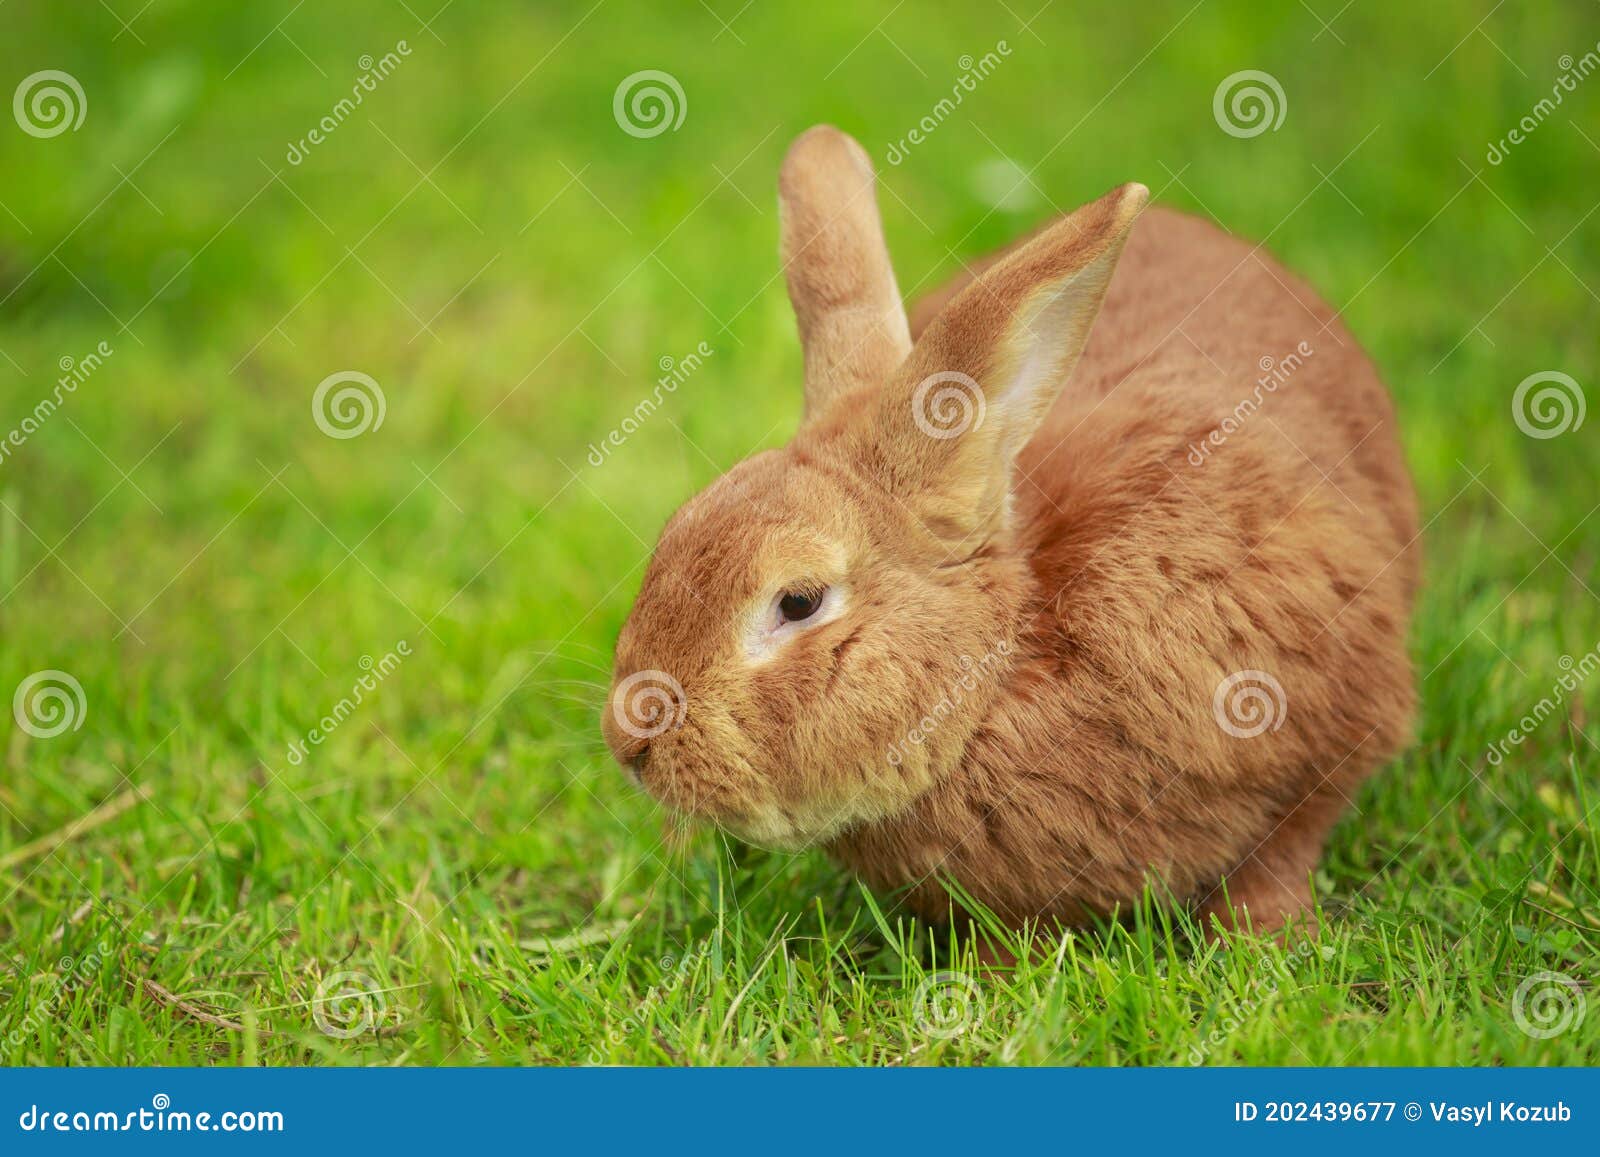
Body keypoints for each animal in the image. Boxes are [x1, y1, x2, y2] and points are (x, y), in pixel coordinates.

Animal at [602, 124, 1419, 938]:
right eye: (676, 531)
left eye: (798, 601)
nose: (628, 739)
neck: (1003, 665)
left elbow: (1288, 840)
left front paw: (1262, 930)